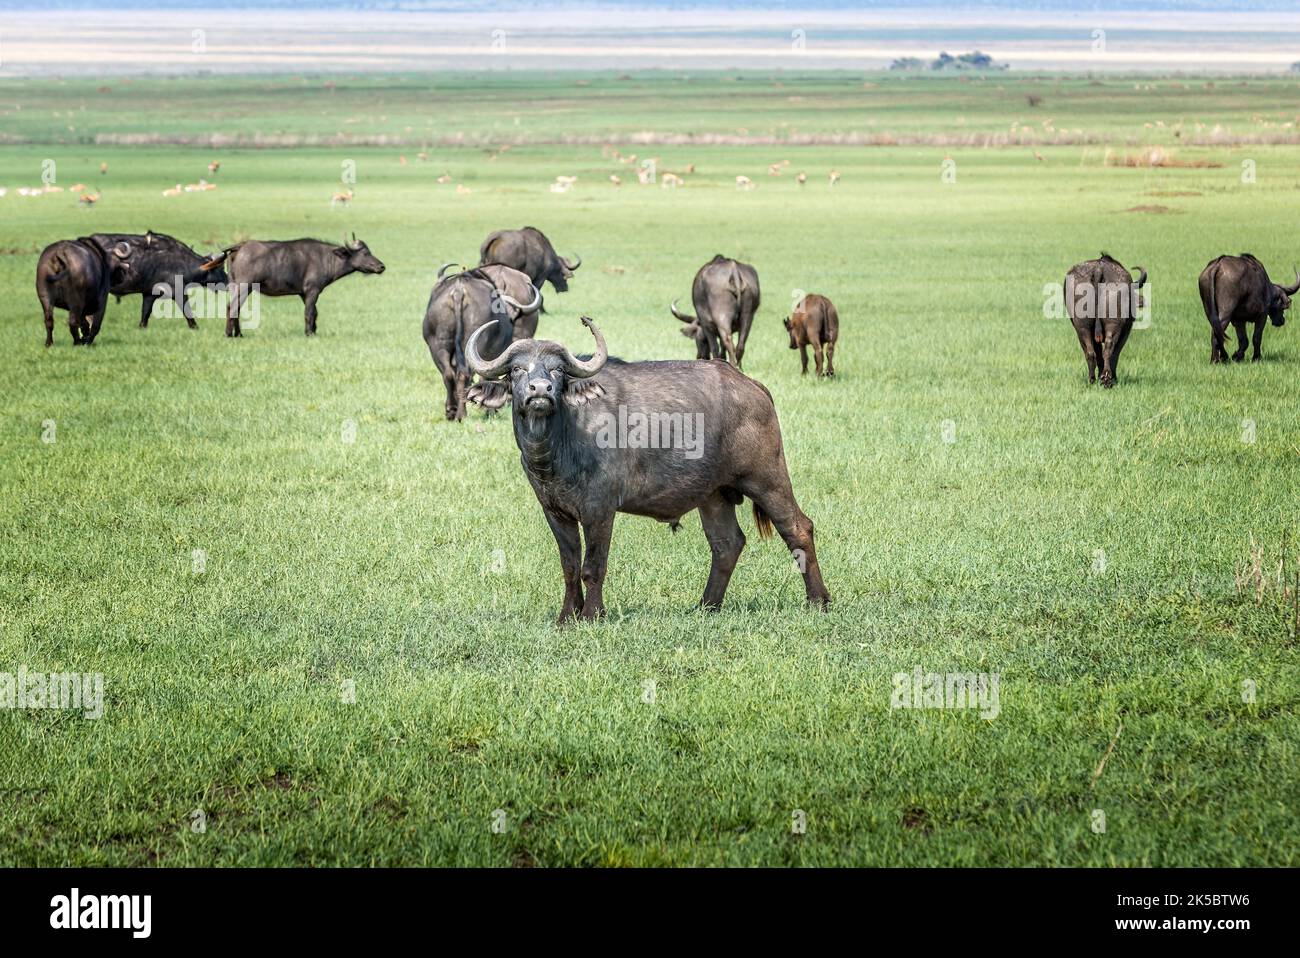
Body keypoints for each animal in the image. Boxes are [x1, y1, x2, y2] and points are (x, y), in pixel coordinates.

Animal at [90, 230, 228, 329]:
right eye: (219, 269)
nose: (228, 281)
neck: (182, 262)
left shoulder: (149, 294)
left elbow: (145, 315)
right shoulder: (178, 292)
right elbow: (187, 311)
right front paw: (195, 327)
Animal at [200, 233, 385, 337]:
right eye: (365, 253)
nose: (381, 266)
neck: (327, 257)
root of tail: (242, 245)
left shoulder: (304, 293)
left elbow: (315, 312)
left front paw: (314, 331)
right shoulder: (312, 290)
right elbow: (309, 312)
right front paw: (309, 334)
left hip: (237, 286)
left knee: (235, 309)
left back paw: (238, 334)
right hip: (244, 286)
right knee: (231, 307)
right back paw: (228, 334)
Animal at [422, 263, 541, 421]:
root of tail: (459, 291)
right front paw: (490, 410)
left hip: (438, 345)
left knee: (449, 374)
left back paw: (452, 411)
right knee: (464, 375)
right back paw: (463, 414)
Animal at [464, 317, 830, 624]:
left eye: (557, 371)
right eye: (516, 370)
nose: (540, 390)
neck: (558, 445)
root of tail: (752, 386)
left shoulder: (600, 510)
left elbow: (592, 566)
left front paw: (592, 615)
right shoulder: (555, 511)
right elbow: (569, 565)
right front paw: (567, 616)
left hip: (767, 478)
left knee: (798, 528)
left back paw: (818, 601)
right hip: (713, 494)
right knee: (727, 543)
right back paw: (706, 606)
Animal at [1063, 253, 1146, 387]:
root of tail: (1099, 269)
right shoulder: (1126, 330)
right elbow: (1115, 352)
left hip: (1082, 327)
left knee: (1090, 352)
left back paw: (1092, 379)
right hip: (1114, 324)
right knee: (1109, 348)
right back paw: (1107, 379)